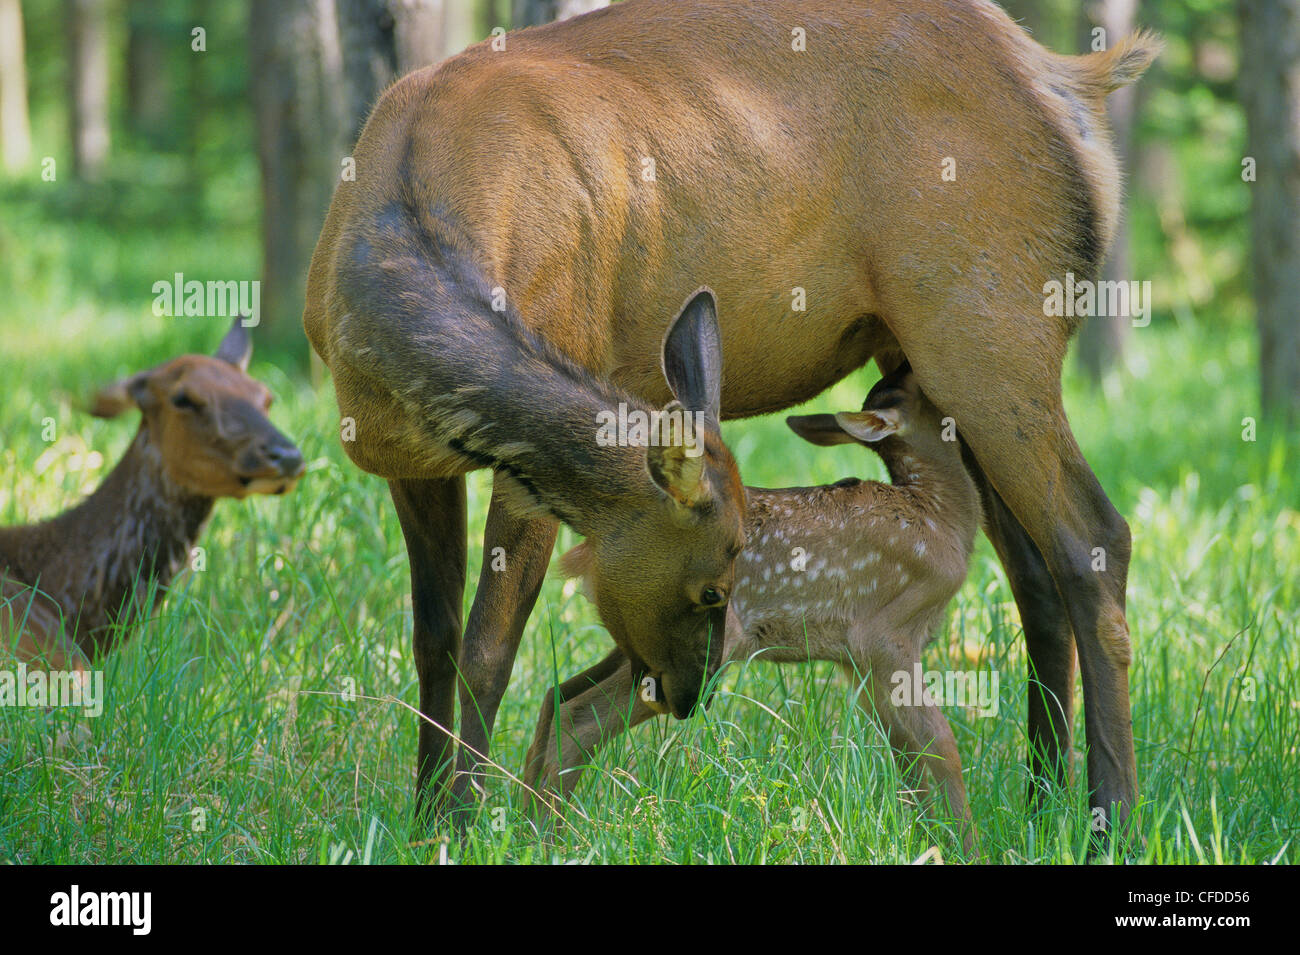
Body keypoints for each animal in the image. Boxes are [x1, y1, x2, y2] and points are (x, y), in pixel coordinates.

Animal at [525, 363, 985, 849]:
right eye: (908, 387)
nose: (906, 364)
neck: (938, 517)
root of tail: (587, 555)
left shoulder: (854, 658)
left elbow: (905, 747)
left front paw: (934, 837)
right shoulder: (883, 634)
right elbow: (939, 742)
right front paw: (966, 846)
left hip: (640, 636)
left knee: (556, 697)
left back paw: (524, 824)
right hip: (705, 648)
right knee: (578, 718)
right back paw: (546, 837)